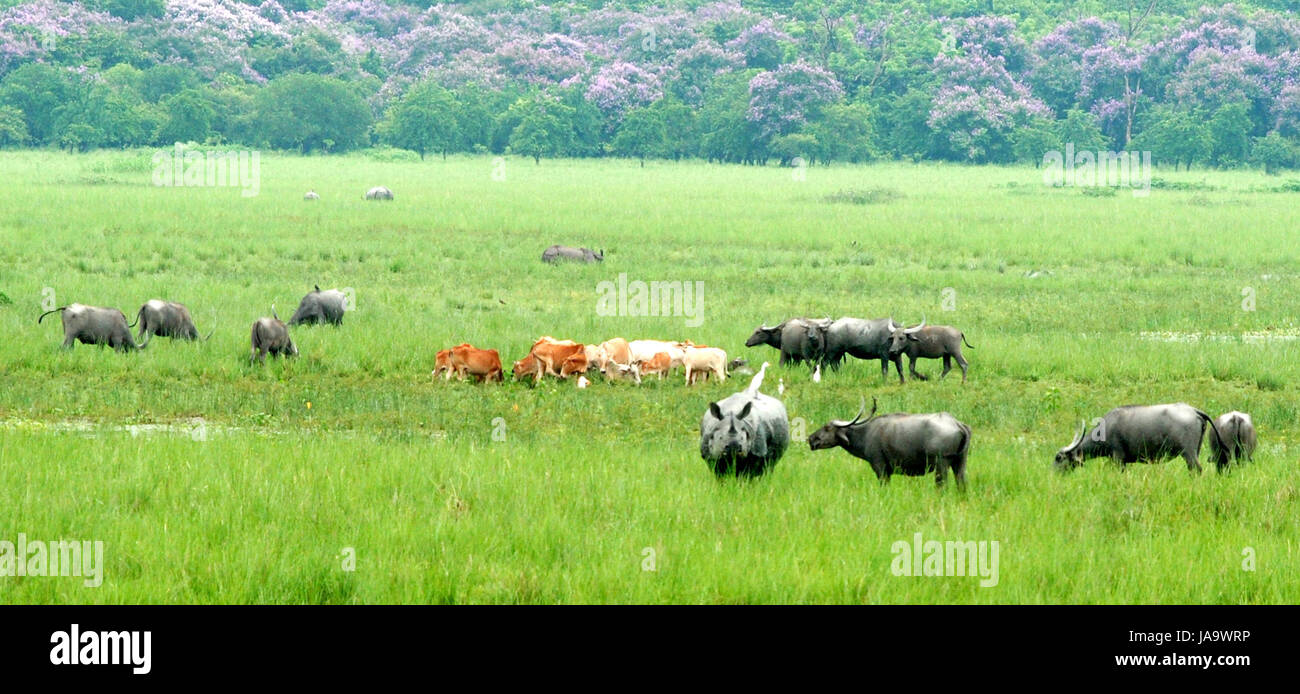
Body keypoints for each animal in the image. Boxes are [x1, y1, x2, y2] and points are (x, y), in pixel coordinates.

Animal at [808, 397, 971, 488]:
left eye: (827, 427)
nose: (810, 439)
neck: (865, 432)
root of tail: (957, 424)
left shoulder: (880, 467)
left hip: (941, 465)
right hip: (960, 463)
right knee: (962, 484)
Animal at [1054, 403, 1222, 474]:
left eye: (1058, 458)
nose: (1054, 474)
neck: (1105, 429)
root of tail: (1194, 410)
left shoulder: (1118, 458)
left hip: (1188, 453)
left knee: (1196, 469)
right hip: (1196, 450)